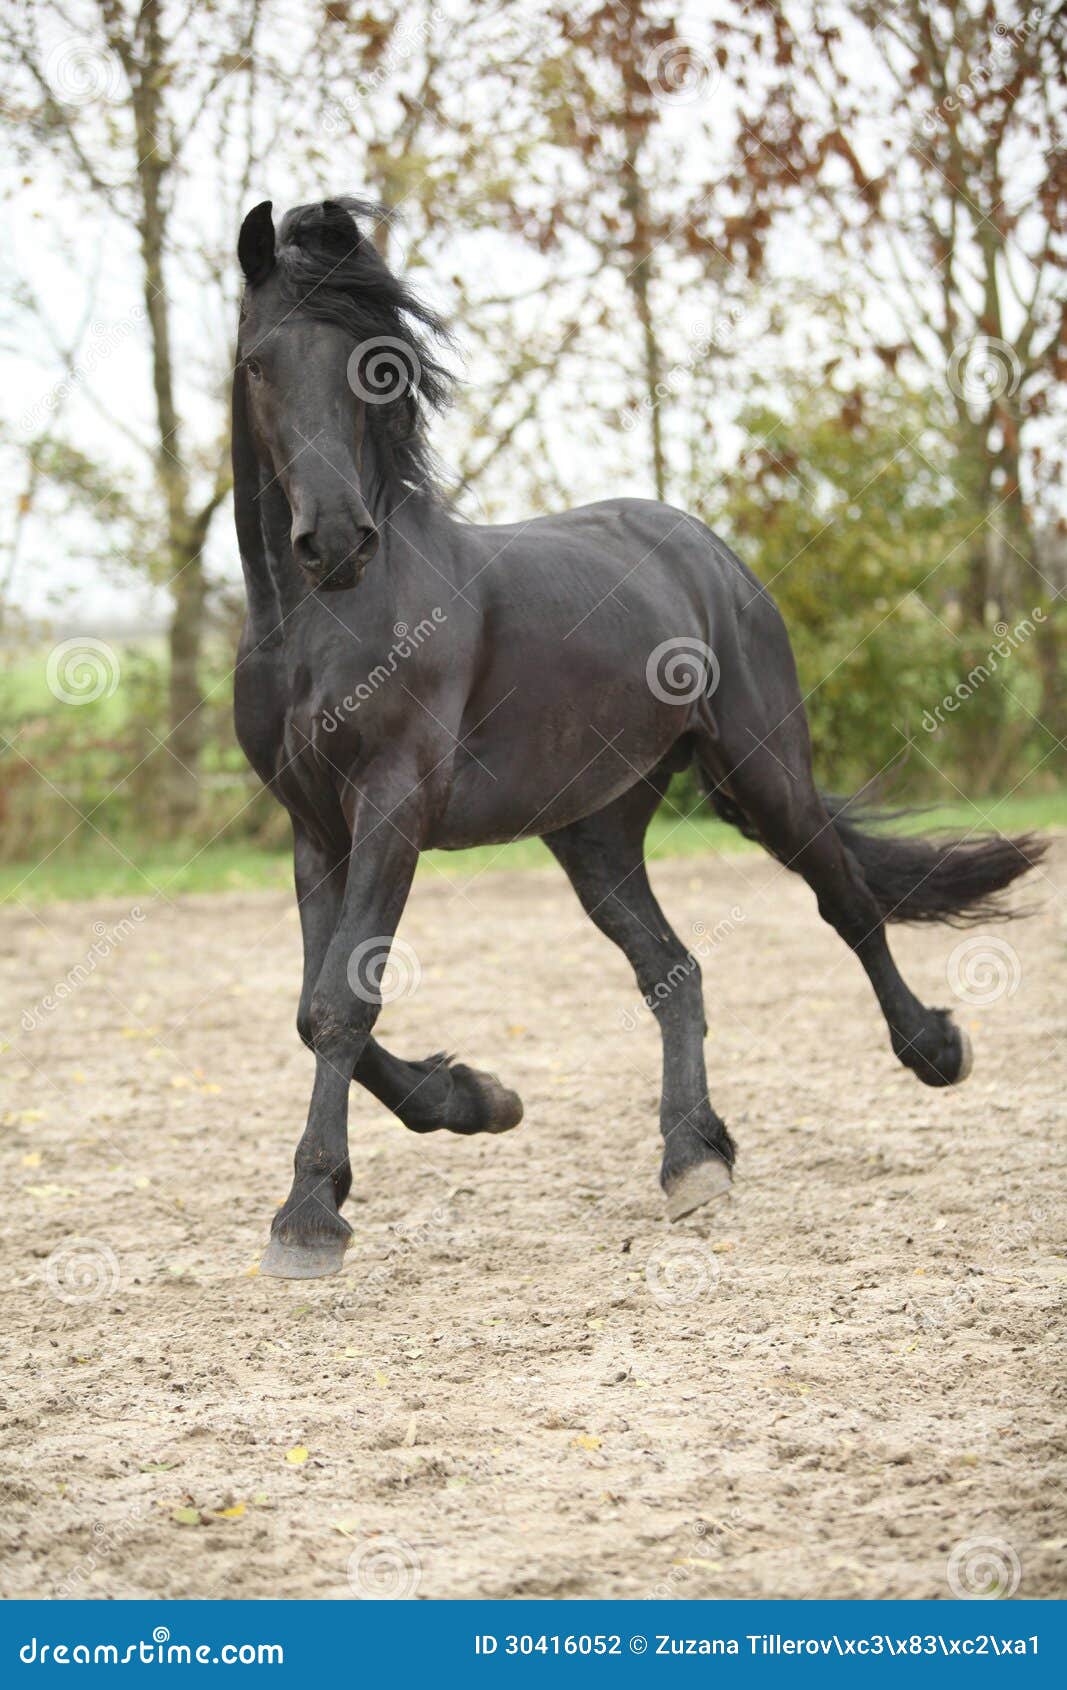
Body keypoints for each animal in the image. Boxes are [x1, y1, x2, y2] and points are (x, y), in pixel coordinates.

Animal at [231, 195, 1044, 1279]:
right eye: (257, 364)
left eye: (376, 365)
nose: (332, 541)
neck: (321, 627)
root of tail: (707, 551)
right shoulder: (316, 825)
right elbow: (313, 1008)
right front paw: (476, 1101)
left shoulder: (392, 806)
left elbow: (339, 1005)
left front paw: (309, 1215)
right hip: (596, 829)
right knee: (673, 967)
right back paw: (692, 1157)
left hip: (761, 773)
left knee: (845, 902)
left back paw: (933, 1051)